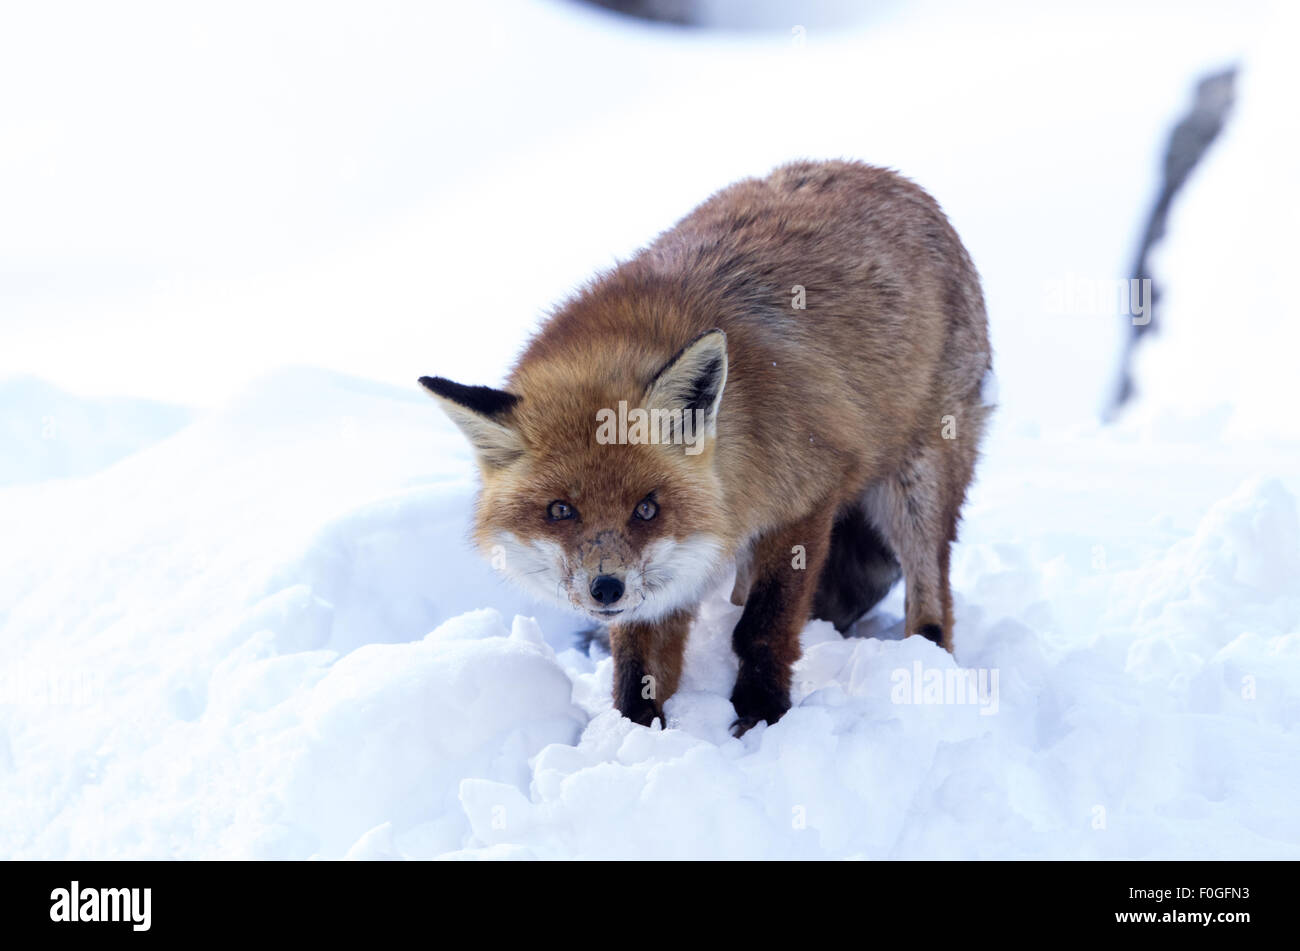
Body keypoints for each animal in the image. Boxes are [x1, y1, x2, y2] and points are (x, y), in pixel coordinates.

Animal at [421, 159, 992, 735]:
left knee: (932, 601)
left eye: (646, 509)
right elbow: (639, 661)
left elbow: (763, 625)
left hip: (917, 487)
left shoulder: (807, 499)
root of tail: (878, 172)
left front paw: (760, 712)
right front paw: (637, 731)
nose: (606, 588)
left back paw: (926, 666)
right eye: (560, 510)